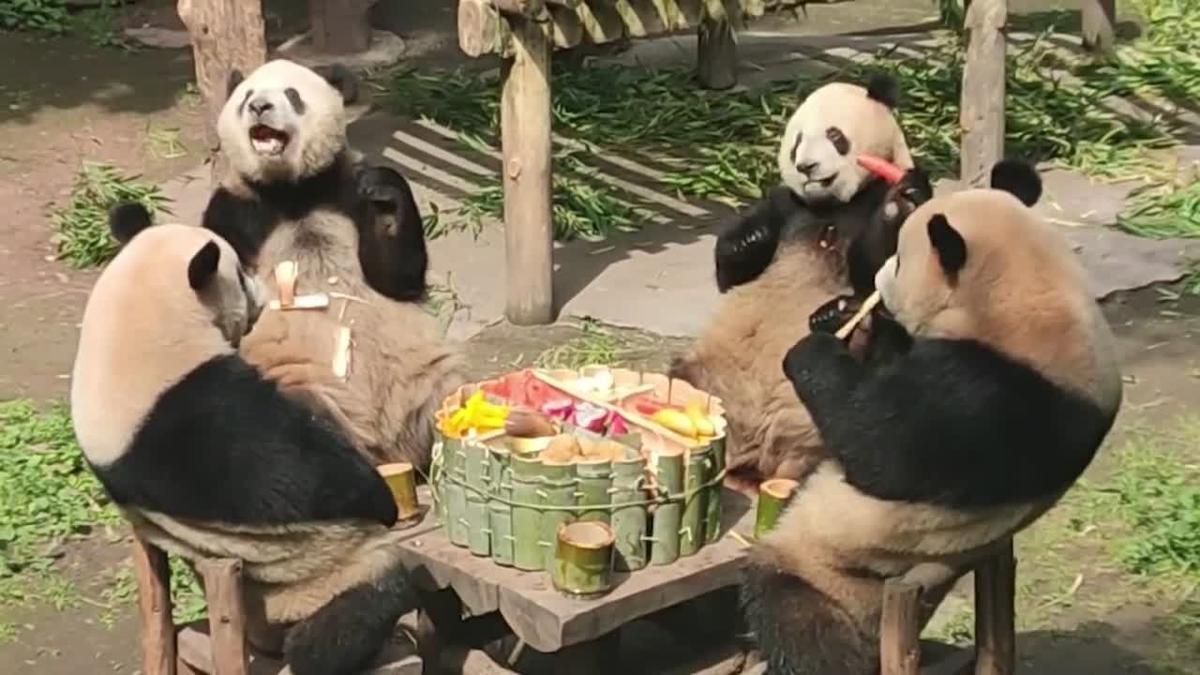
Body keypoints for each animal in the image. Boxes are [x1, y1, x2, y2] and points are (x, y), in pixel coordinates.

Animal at [71, 219, 419, 675]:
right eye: (238, 273)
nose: (263, 295)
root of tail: (263, 638)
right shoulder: (198, 415)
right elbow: (303, 475)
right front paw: (382, 499)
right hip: (323, 577)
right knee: (364, 605)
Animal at [112, 58, 465, 471]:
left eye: (292, 95)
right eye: (246, 96)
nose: (259, 107)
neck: (290, 191)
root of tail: (388, 447)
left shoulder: (343, 191)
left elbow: (396, 276)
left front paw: (384, 196)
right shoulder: (233, 212)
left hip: (423, 374)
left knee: (452, 395)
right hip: (298, 382)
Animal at [669, 74, 931, 486]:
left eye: (835, 135)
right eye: (796, 143)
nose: (807, 166)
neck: (834, 203)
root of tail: (756, 456)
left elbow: (876, 269)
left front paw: (902, 200)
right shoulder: (784, 204)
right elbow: (732, 273)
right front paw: (749, 239)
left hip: (823, 421)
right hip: (709, 371)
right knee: (683, 380)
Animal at [742, 159, 1123, 675]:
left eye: (901, 261)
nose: (878, 277)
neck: (1025, 297)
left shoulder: (993, 396)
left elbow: (881, 447)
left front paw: (814, 349)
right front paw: (841, 314)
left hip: (836, 572)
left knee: (798, 619)